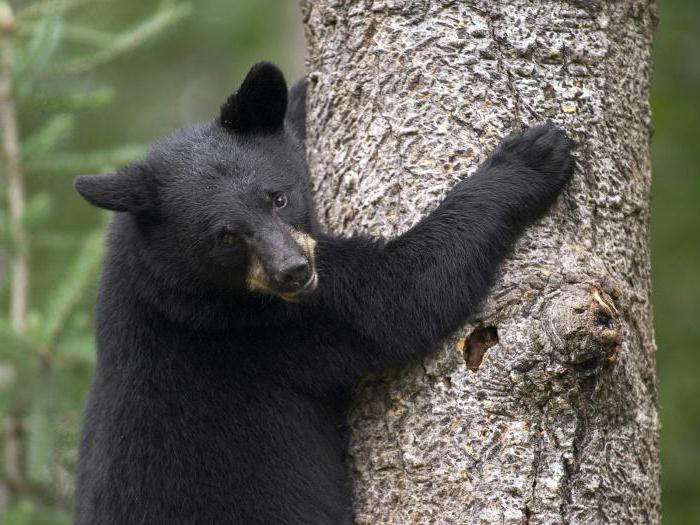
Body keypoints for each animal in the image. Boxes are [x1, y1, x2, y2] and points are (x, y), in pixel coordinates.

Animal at [72, 62, 576, 524]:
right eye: (227, 236)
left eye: (277, 197)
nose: (293, 272)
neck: (160, 276)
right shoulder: (260, 325)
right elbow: (398, 299)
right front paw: (530, 158)